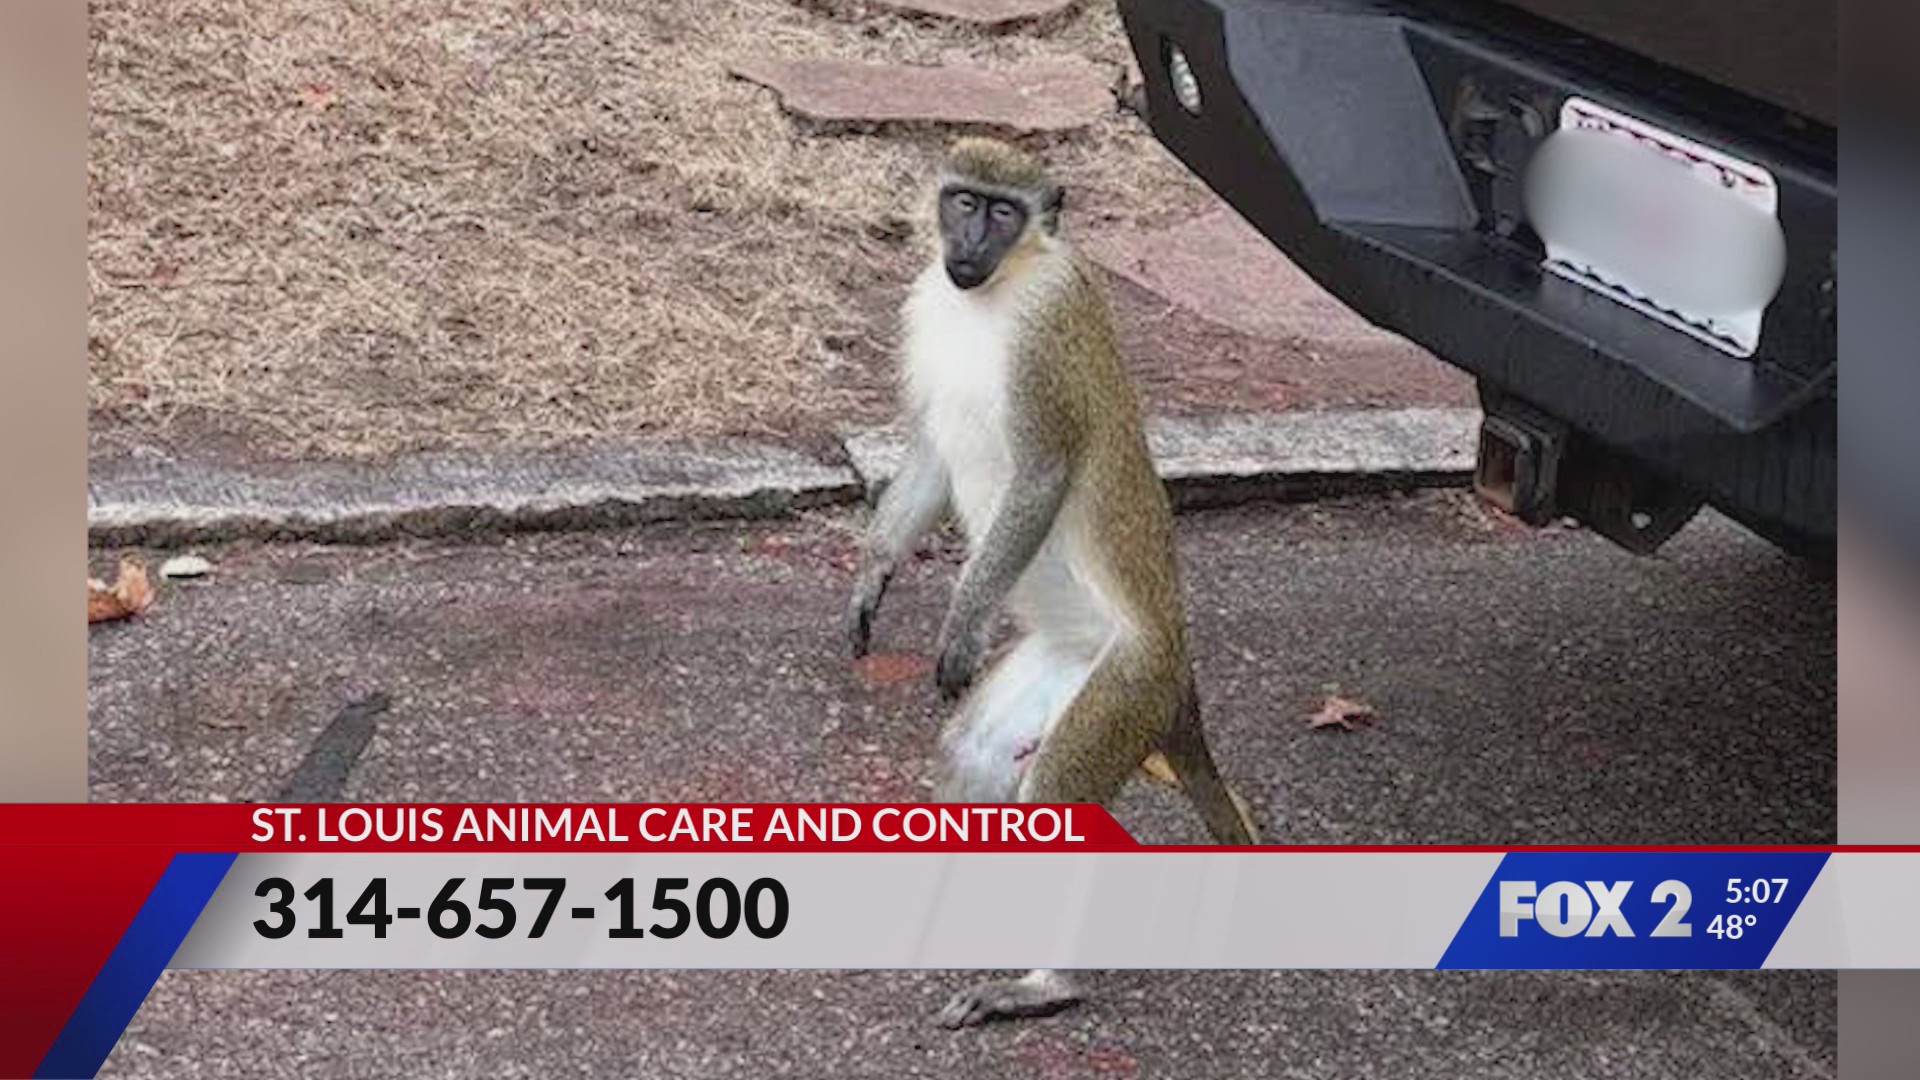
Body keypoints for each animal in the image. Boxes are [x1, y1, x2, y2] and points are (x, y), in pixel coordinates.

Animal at [845, 137, 1261, 1028]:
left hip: (1129, 686)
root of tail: (1180, 675)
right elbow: (931, 452)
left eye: (1004, 212)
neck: (993, 294)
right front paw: (873, 572)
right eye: (964, 201)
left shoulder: (1048, 331)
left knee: (1057, 792)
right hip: (1065, 669)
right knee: (975, 758)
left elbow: (1040, 475)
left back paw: (1047, 985)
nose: (969, 245)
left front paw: (963, 617)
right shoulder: (926, 306)